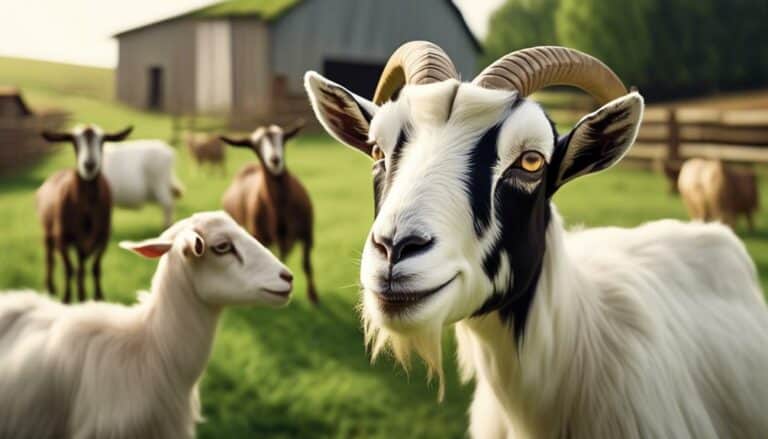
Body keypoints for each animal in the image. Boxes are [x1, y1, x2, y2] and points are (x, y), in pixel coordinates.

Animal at [38, 124, 132, 303]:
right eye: (74, 141)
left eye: (102, 140)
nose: (89, 165)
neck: (87, 207)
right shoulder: (62, 238)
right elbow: (69, 269)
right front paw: (66, 299)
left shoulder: (103, 237)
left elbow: (95, 268)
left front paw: (98, 298)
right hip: (48, 233)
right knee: (50, 259)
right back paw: (50, 289)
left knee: (81, 267)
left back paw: (82, 296)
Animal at [220, 121, 318, 304]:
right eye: (255, 146)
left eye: (283, 138)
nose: (274, 160)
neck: (281, 208)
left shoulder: (307, 234)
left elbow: (306, 265)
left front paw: (313, 296)